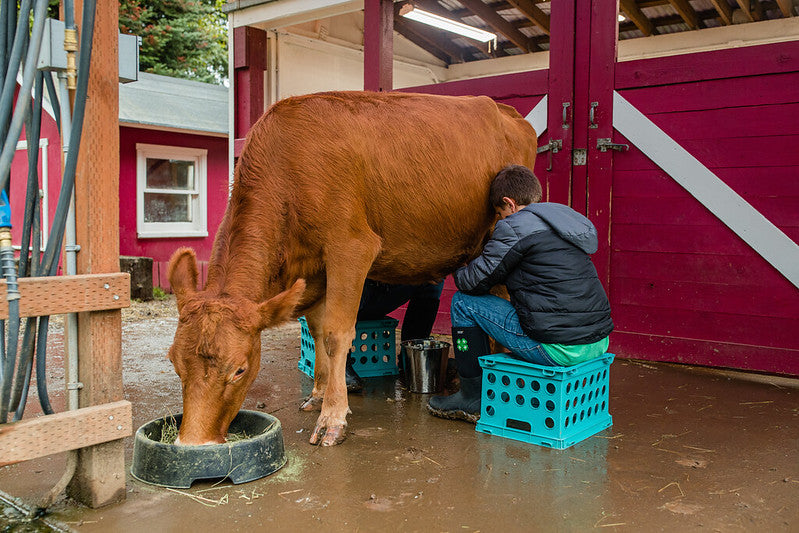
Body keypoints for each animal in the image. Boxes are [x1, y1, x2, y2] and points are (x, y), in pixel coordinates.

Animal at [166, 91, 537, 447]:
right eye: (174, 362)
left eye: (240, 370)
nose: (193, 442)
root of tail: (504, 110)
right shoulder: (314, 270)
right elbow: (317, 330)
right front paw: (318, 394)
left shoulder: (350, 246)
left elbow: (337, 333)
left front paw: (333, 417)